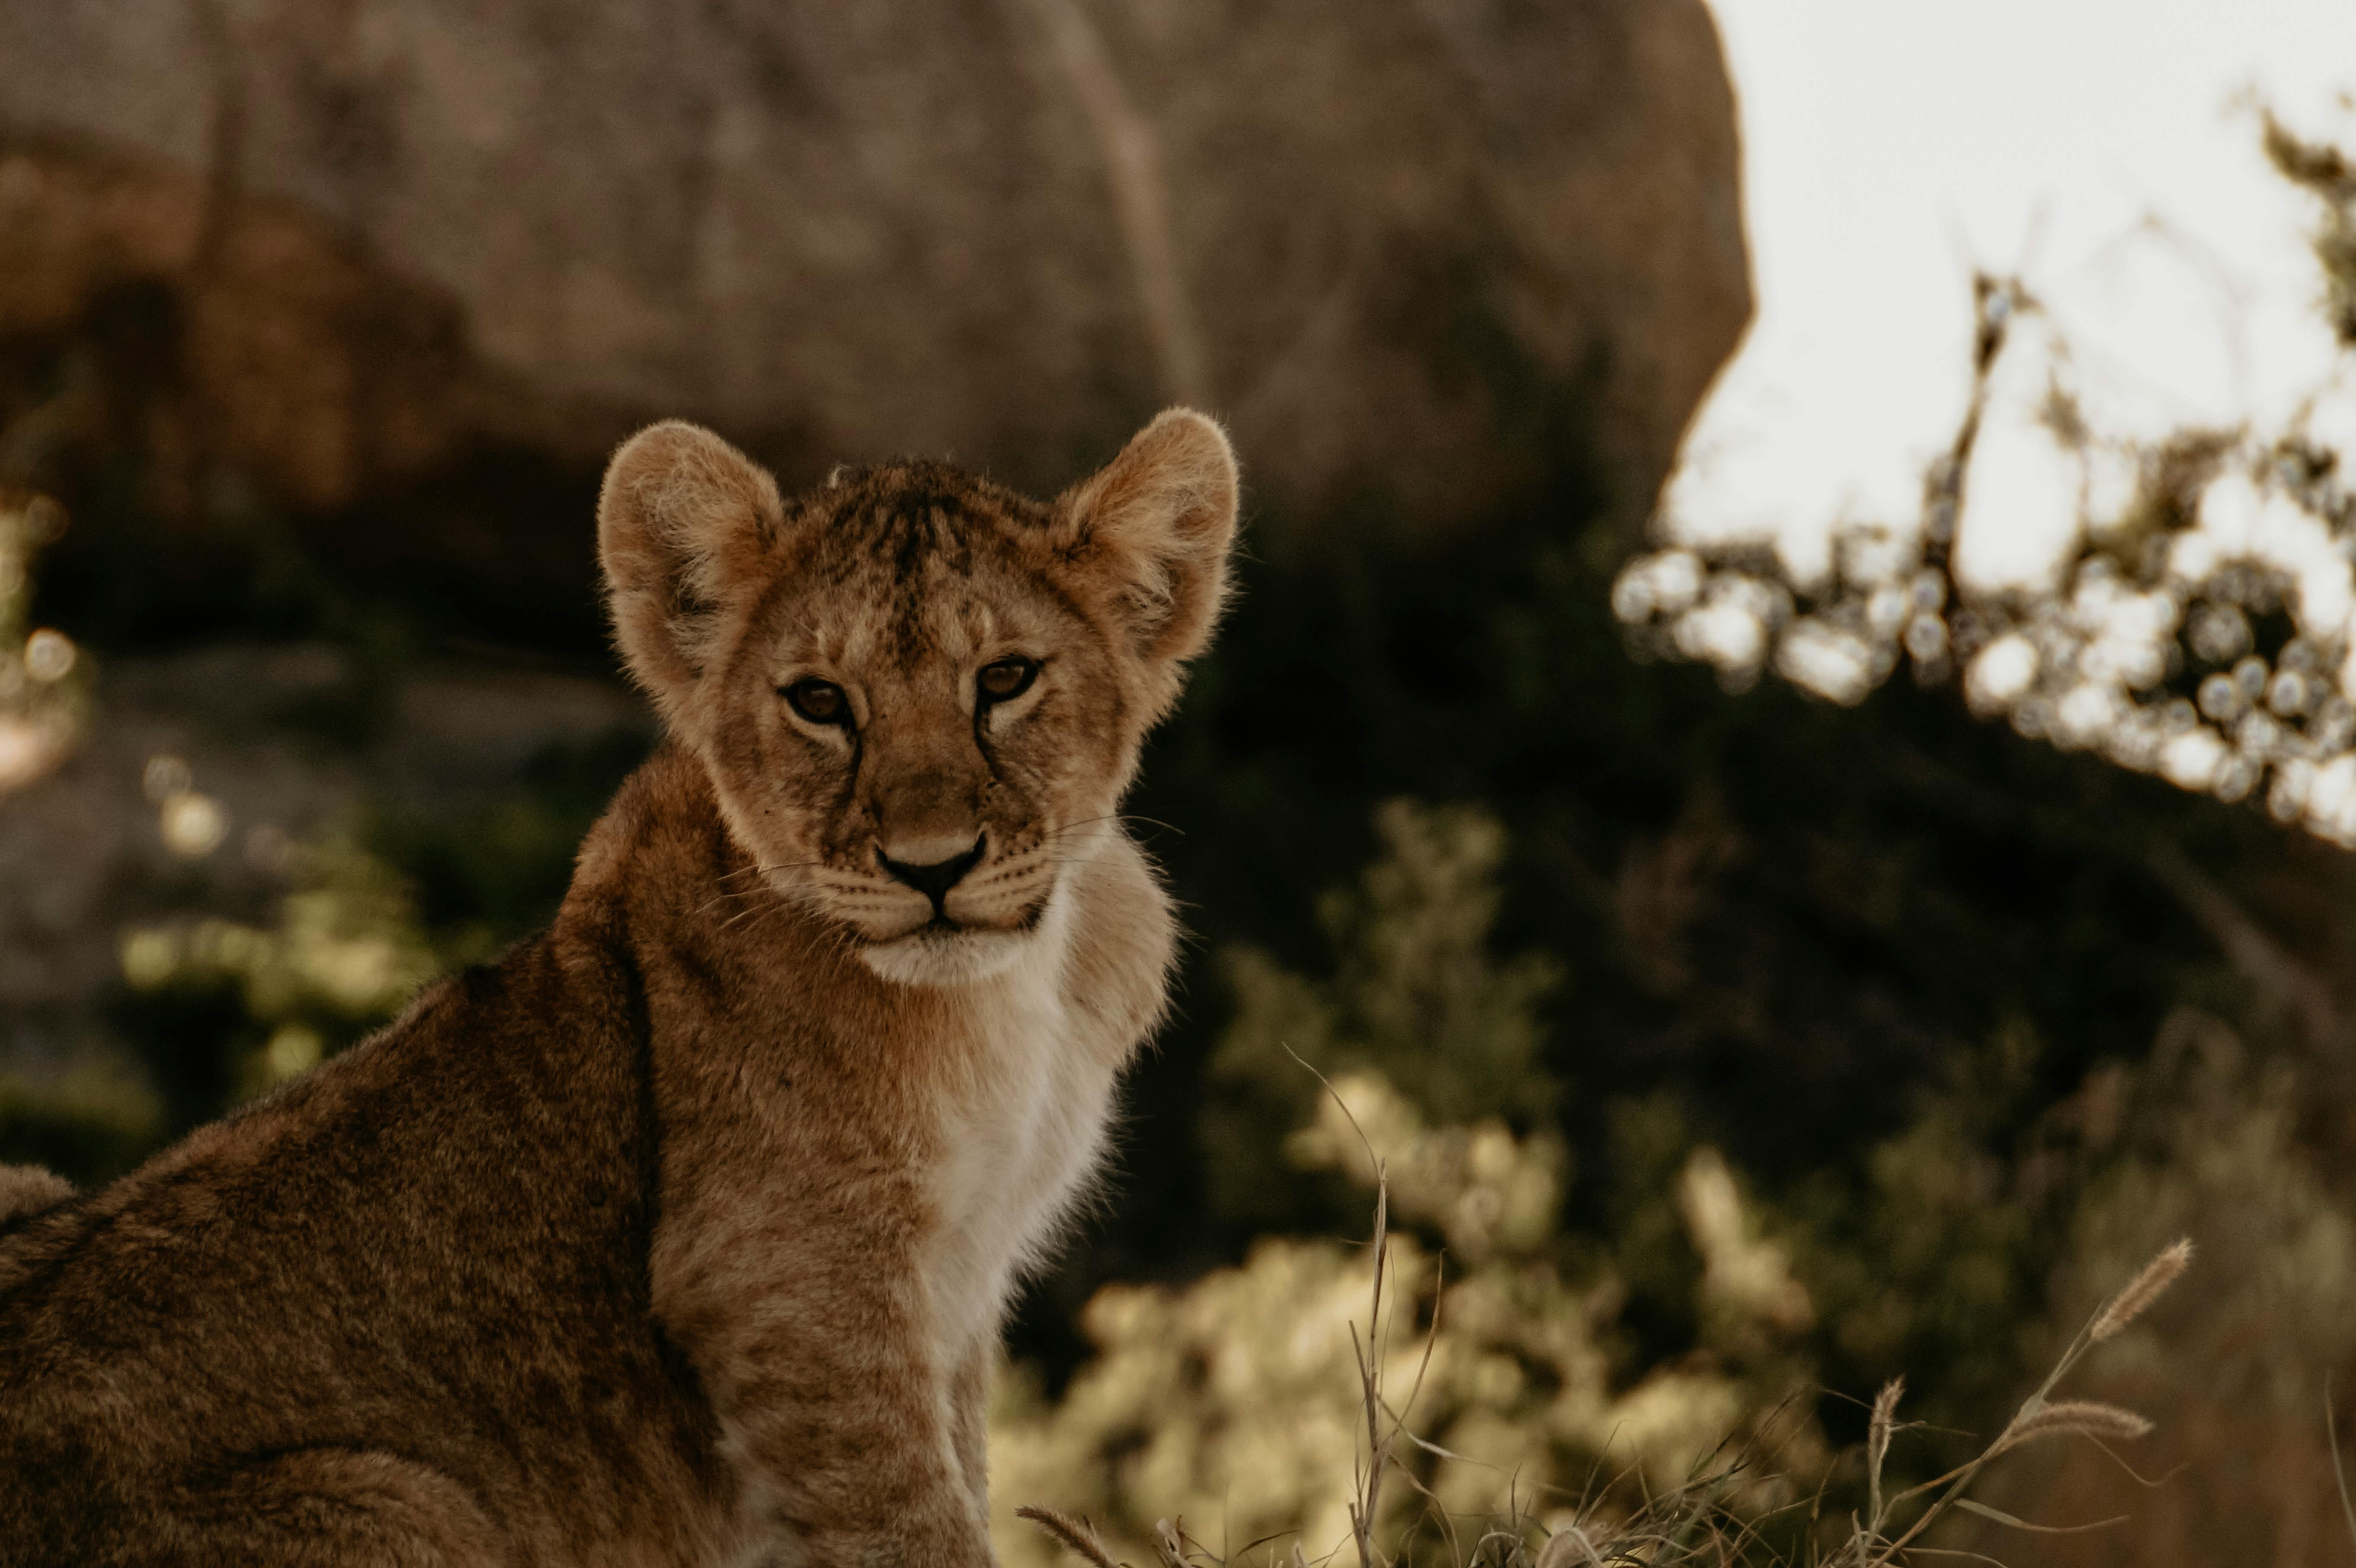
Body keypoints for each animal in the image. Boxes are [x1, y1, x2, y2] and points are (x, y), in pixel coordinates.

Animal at [0, 408, 1240, 1567]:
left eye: (1007, 680)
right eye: (820, 702)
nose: (931, 868)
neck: (1022, 987)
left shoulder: (955, 1300)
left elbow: (966, 1480)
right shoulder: (784, 1288)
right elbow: (912, 1524)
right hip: (403, 1500)